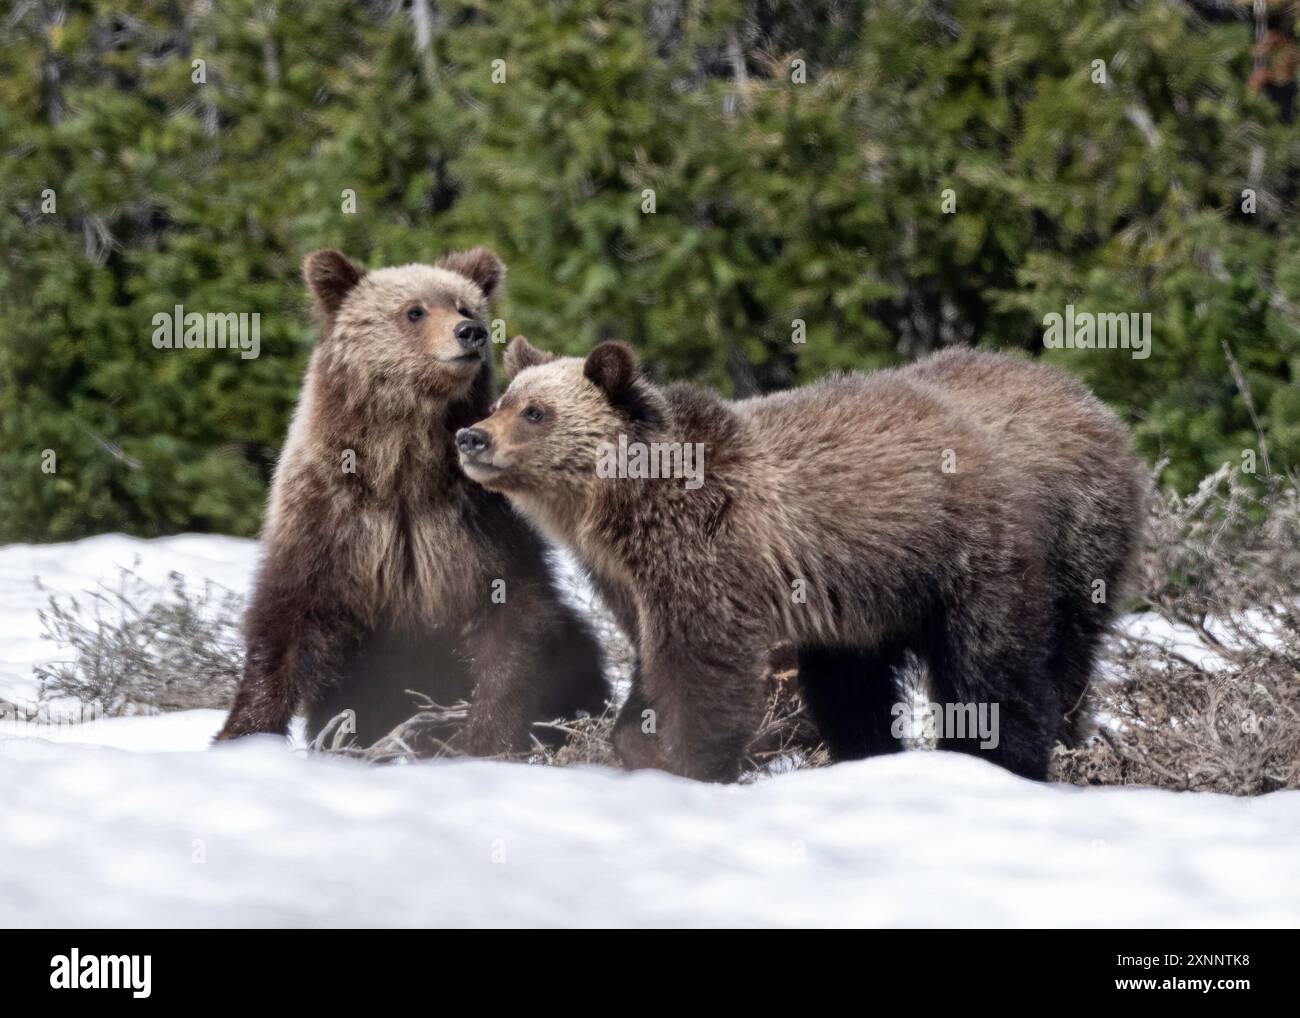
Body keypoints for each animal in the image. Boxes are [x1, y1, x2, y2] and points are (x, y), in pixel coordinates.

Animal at [215, 249, 608, 753]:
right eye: (414, 311)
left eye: (466, 305)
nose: (470, 332)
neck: (402, 468)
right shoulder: (327, 520)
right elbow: (285, 619)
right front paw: (241, 732)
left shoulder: (479, 525)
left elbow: (514, 621)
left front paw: (484, 736)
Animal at [454, 337, 1145, 782]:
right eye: (502, 400)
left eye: (535, 411)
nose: (470, 436)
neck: (622, 509)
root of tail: (1090, 404)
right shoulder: (631, 580)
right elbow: (652, 660)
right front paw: (637, 742)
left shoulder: (709, 550)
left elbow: (703, 666)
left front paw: (686, 761)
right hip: (866, 594)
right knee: (850, 685)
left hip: (991, 552)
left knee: (1000, 667)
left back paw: (1011, 757)